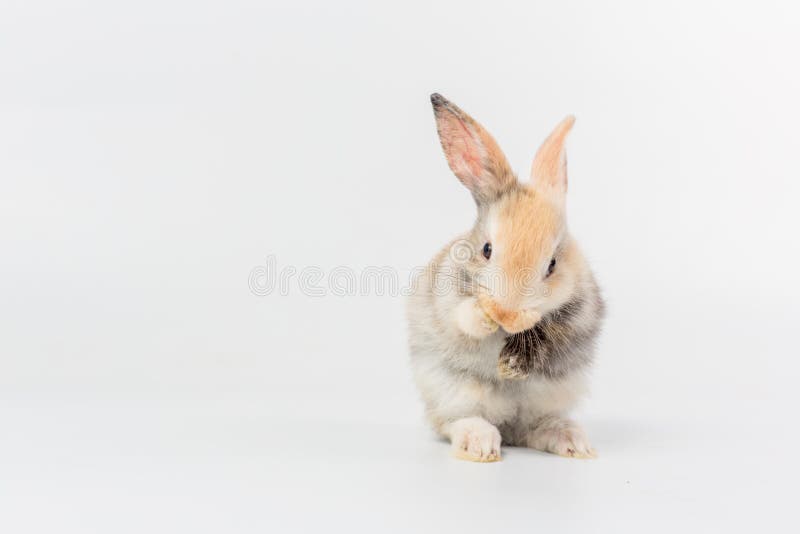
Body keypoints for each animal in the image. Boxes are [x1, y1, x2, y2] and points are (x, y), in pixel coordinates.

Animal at [407, 93, 605, 462]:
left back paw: (571, 441)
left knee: (532, 429)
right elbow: (462, 318)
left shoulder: (582, 314)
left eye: (551, 265)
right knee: (454, 422)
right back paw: (480, 444)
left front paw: (513, 362)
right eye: (487, 249)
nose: (505, 314)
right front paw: (484, 319)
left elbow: (553, 336)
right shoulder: (446, 301)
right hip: (451, 390)